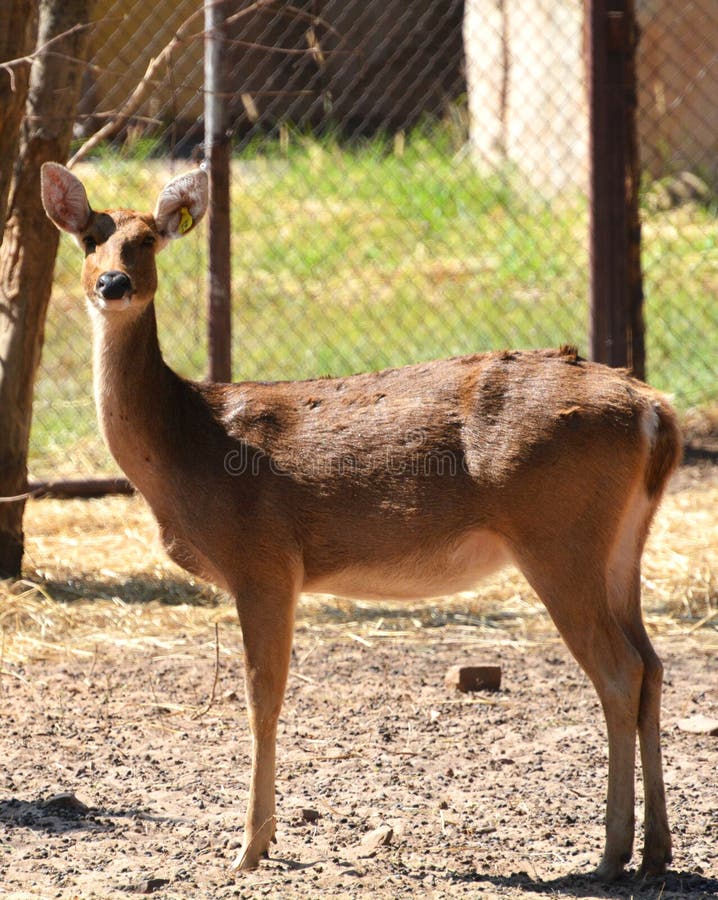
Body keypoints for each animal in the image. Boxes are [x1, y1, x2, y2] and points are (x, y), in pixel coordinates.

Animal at [40, 161, 681, 881]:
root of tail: (655, 410)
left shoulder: (264, 560)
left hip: (559, 536)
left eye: (147, 240)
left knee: (619, 671)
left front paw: (249, 848)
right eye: (89, 237)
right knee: (652, 664)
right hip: (622, 545)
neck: (192, 443)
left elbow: (263, 696)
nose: (112, 284)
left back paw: (609, 855)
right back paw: (656, 852)